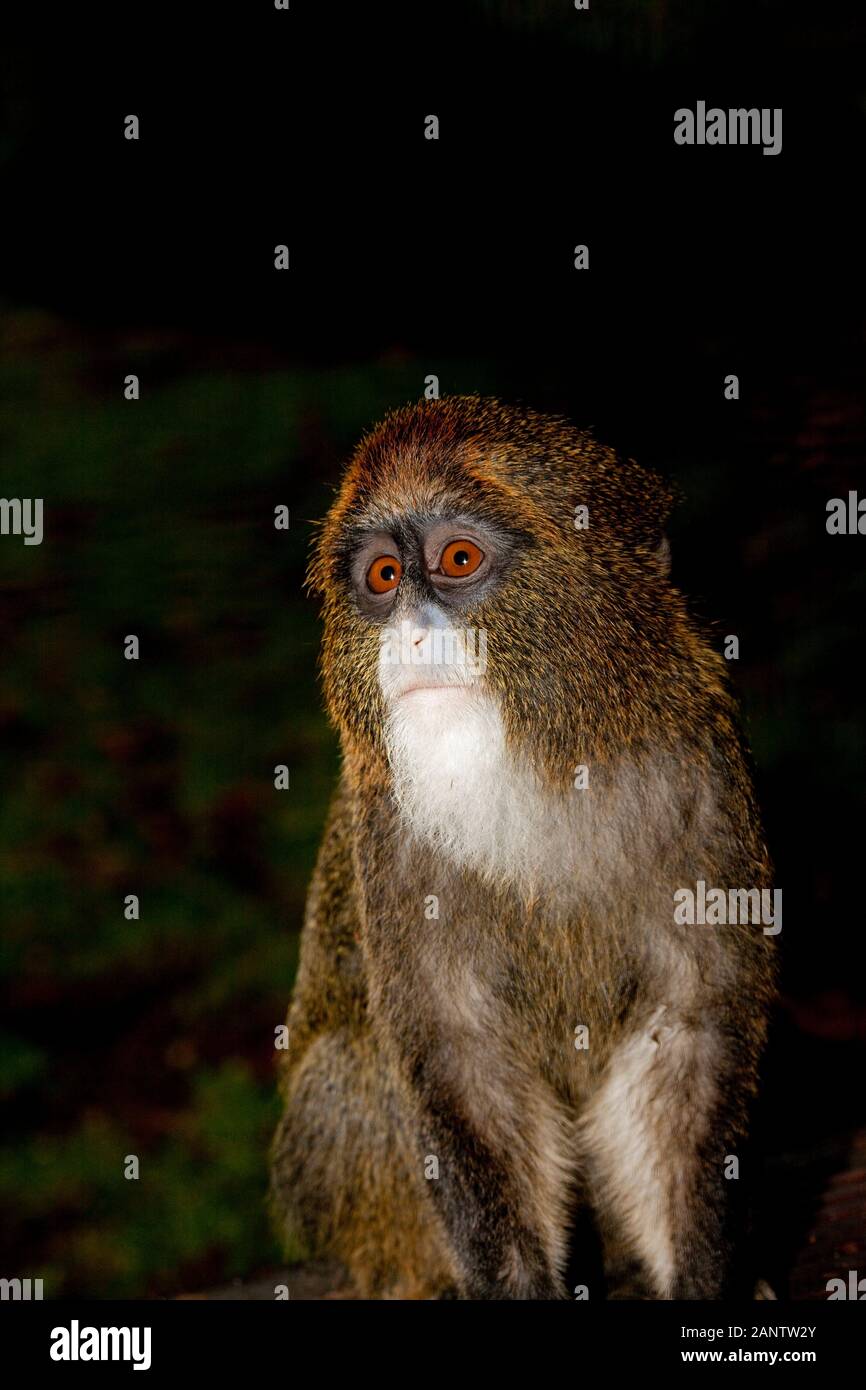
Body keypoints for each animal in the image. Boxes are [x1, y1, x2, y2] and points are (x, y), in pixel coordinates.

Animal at [269, 395, 777, 1300]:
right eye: (383, 578)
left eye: (458, 559)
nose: (409, 632)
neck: (545, 767)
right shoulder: (391, 832)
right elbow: (462, 1066)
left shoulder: (704, 771)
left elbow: (688, 1037)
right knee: (345, 1071)